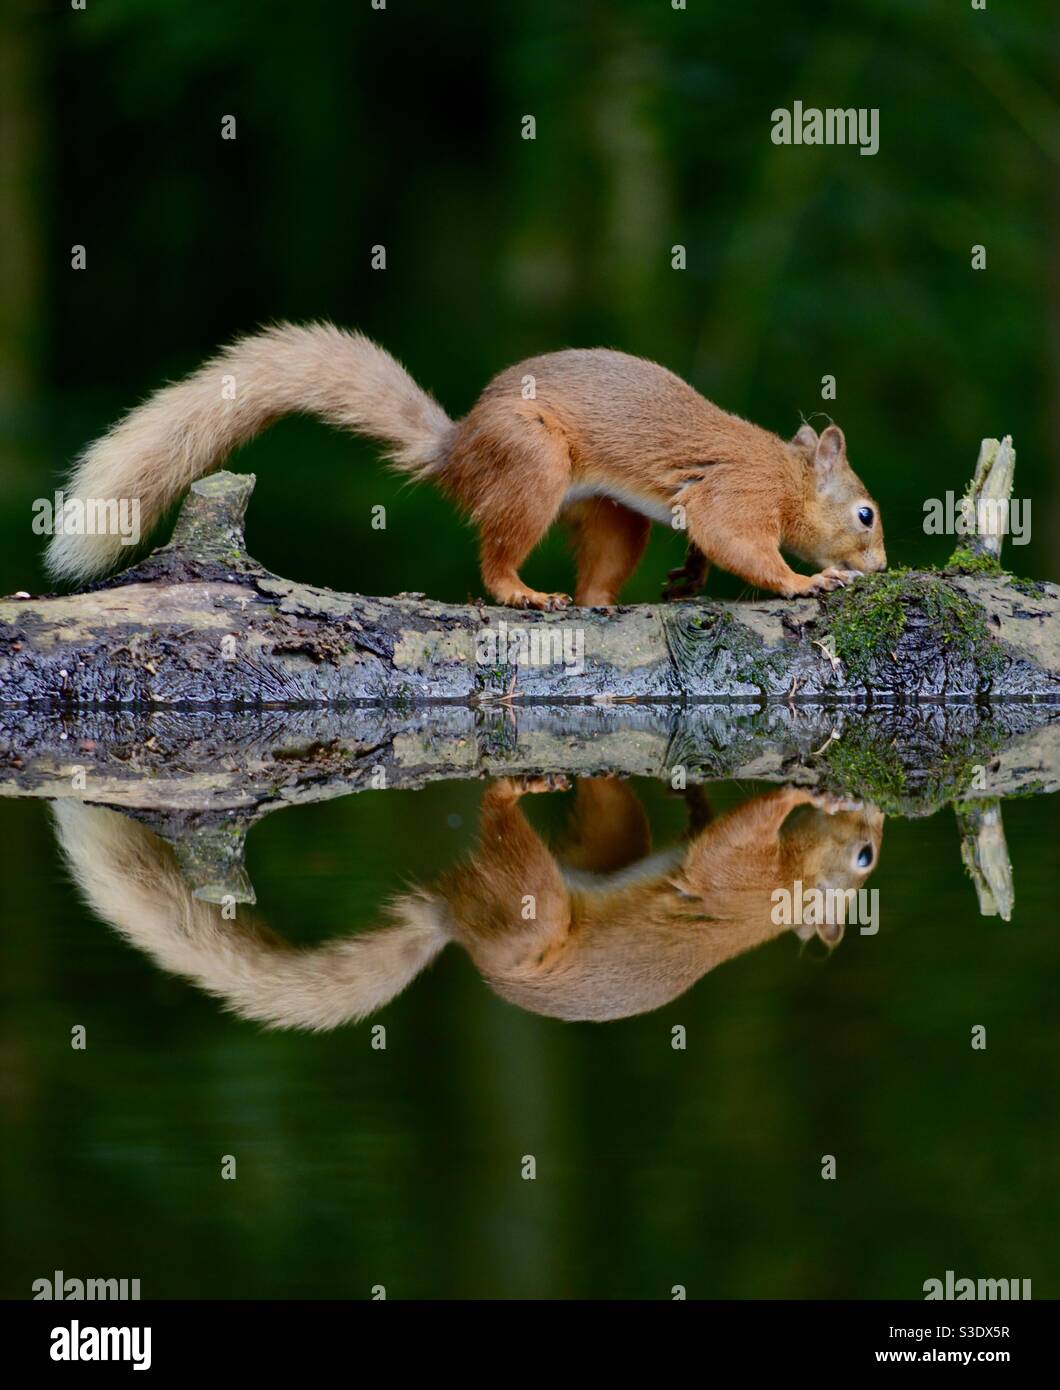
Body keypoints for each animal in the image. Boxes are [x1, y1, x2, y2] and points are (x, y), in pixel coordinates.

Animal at [46, 323, 886, 607]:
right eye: (866, 514)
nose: (880, 566)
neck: (786, 473)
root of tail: (460, 448)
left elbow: (707, 544)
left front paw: (689, 580)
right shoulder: (738, 493)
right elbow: (741, 544)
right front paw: (807, 581)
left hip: (608, 511)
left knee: (600, 567)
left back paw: (599, 603)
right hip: (532, 466)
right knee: (495, 557)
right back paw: (524, 594)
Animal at [51, 778, 883, 1028]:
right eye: (867, 859)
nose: (875, 823)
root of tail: (453, 927)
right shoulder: (736, 878)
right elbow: (729, 842)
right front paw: (802, 791)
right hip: (537, 909)